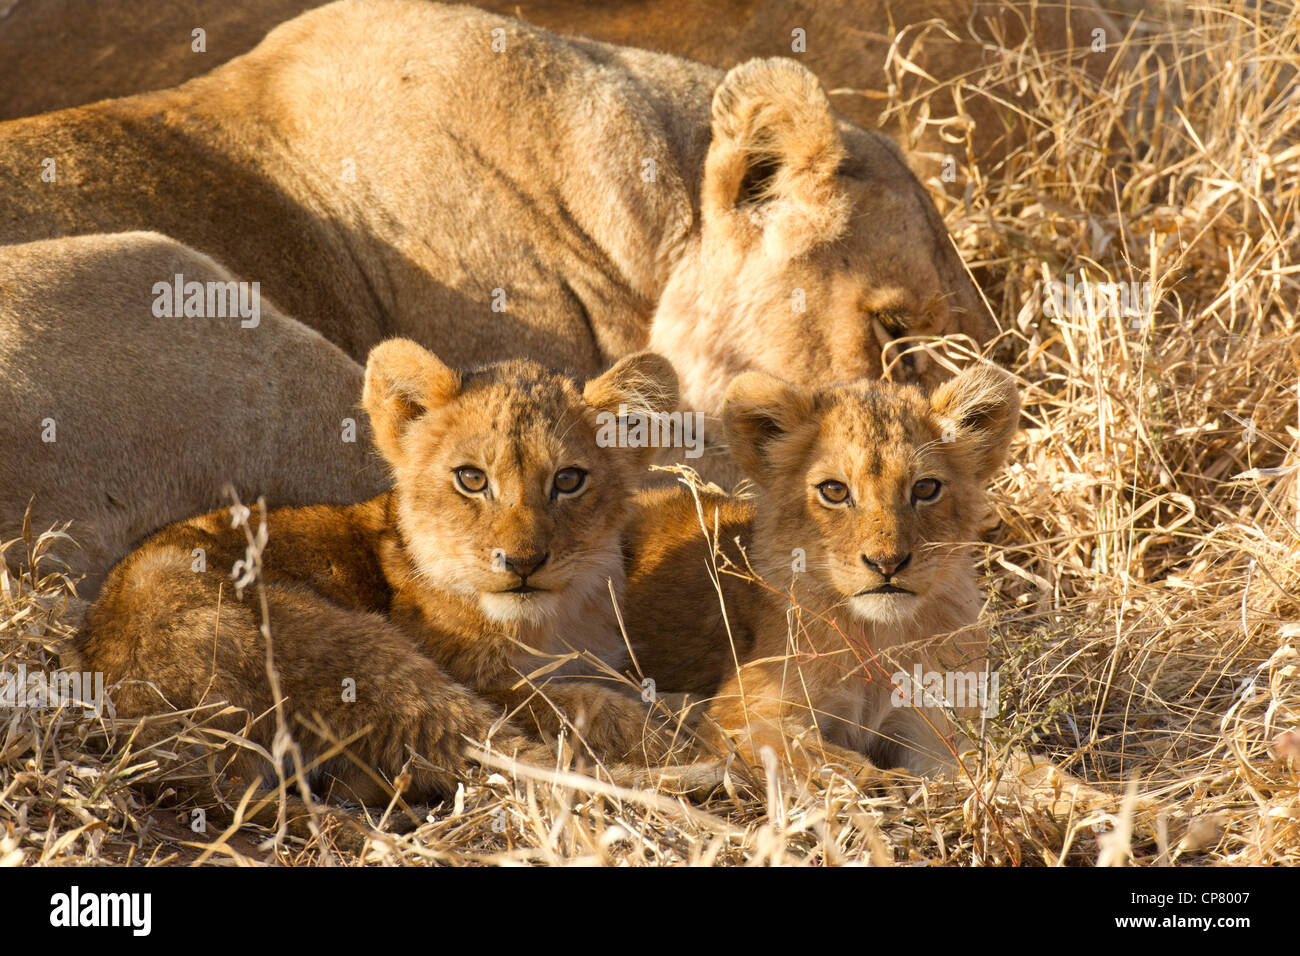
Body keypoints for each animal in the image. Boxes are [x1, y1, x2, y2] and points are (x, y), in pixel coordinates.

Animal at [71, 340, 683, 803]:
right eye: (471, 479)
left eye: (569, 480)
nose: (523, 563)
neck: (554, 621)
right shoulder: (478, 676)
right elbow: (585, 705)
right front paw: (668, 731)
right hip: (352, 646)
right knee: (498, 754)